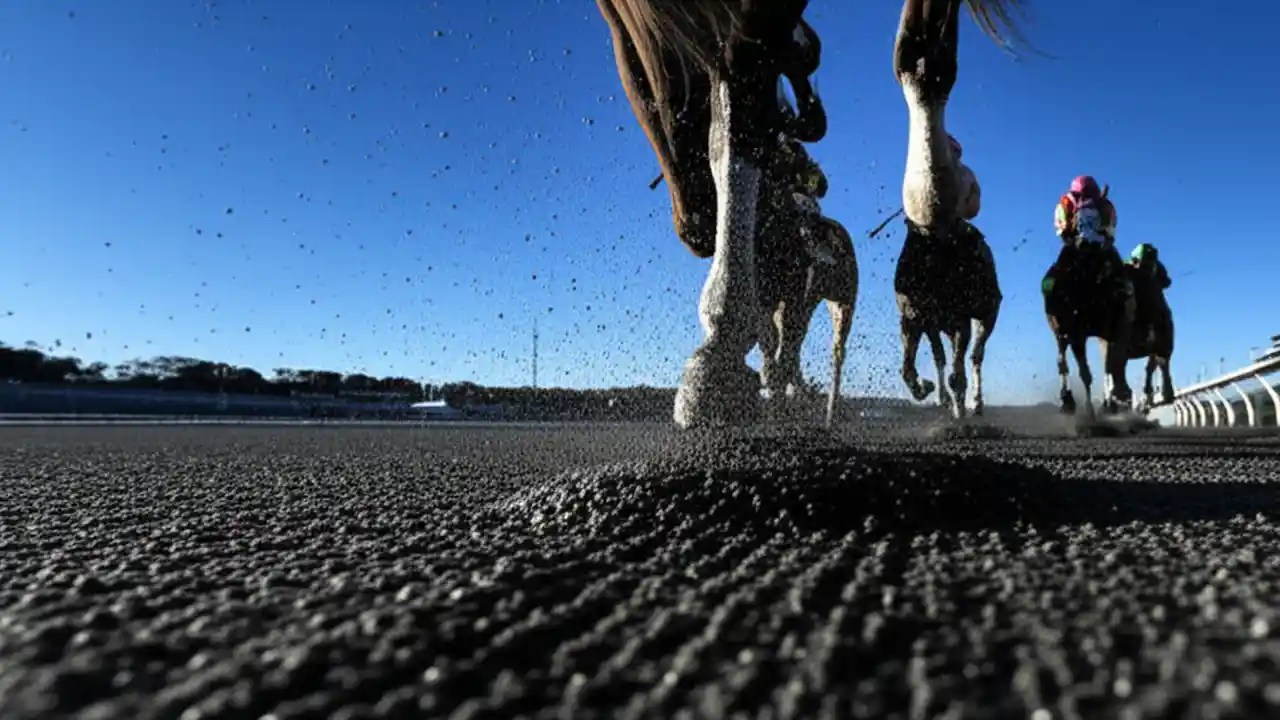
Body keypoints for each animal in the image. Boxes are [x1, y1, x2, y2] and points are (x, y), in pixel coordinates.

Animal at [895, 220, 1001, 417]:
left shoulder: (961, 319)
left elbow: (958, 370)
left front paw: (959, 409)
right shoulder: (919, 319)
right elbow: (916, 364)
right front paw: (929, 390)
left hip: (987, 315)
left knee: (976, 354)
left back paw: (976, 403)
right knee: (947, 356)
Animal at [1042, 241, 1136, 419]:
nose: (1126, 291)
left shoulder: (1113, 325)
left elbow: (1113, 362)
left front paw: (1116, 399)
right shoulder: (1075, 332)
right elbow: (1086, 372)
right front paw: (1090, 409)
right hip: (1061, 330)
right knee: (1062, 359)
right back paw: (1068, 400)